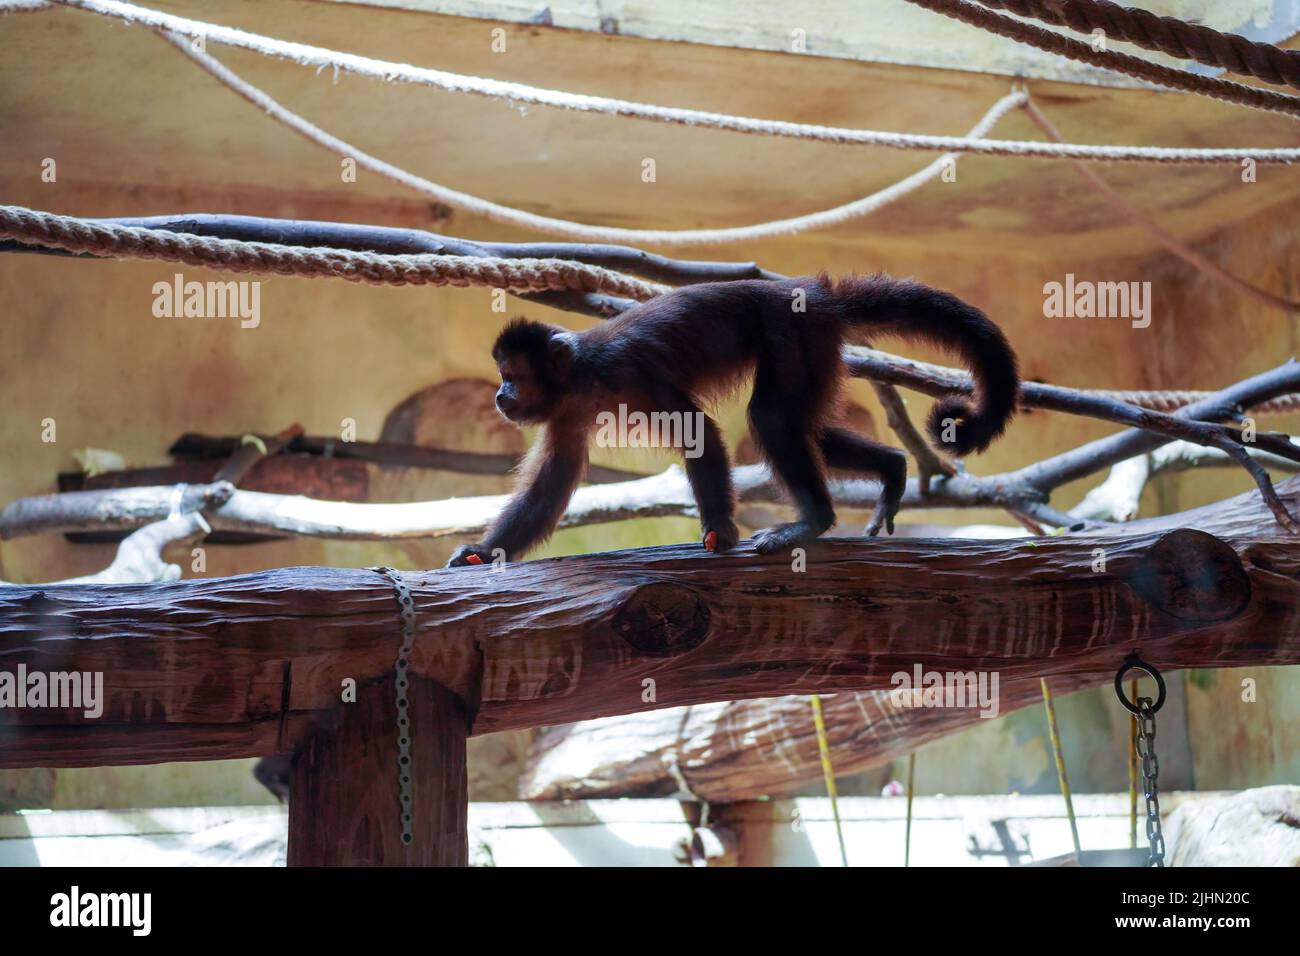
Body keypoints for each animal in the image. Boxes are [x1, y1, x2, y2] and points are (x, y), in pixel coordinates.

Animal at [447, 273, 1018, 567]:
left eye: (513, 376)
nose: (499, 395)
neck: (581, 376)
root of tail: (812, 291)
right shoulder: (566, 412)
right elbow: (551, 482)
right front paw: (484, 552)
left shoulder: (628, 373)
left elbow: (698, 432)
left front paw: (719, 531)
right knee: (808, 429)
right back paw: (893, 469)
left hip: (794, 333)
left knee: (770, 417)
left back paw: (813, 522)